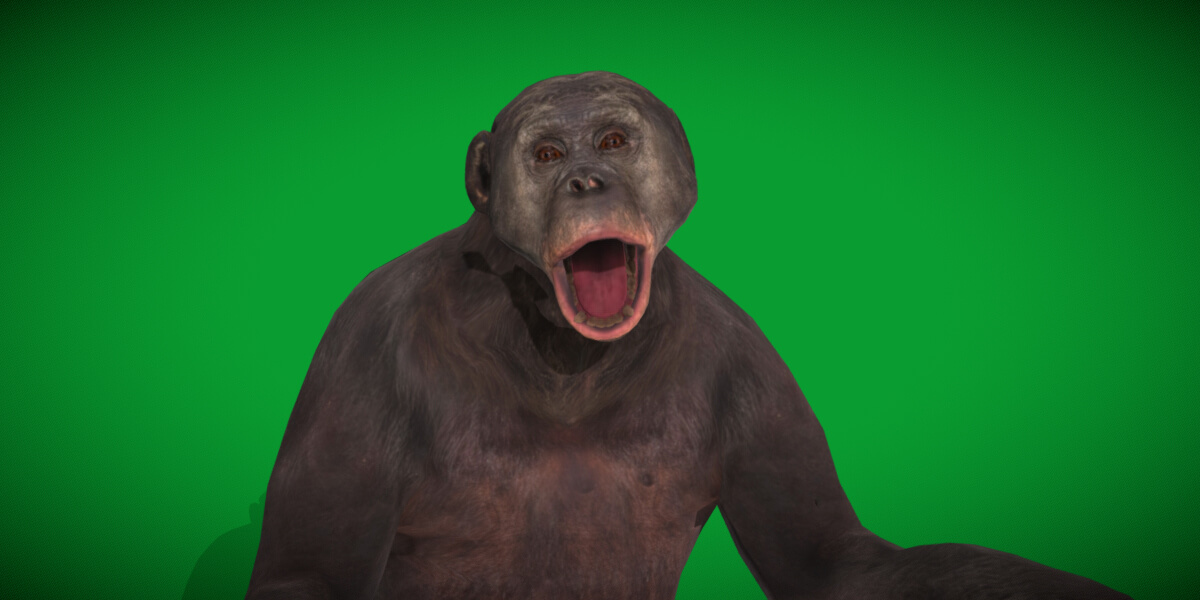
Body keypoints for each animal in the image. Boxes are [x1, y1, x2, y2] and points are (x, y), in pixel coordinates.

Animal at [246, 72, 1130, 599]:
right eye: (544, 153)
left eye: (612, 141)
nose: (586, 180)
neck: (565, 356)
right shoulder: (362, 352)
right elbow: (308, 574)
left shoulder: (748, 365)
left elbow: (835, 561)